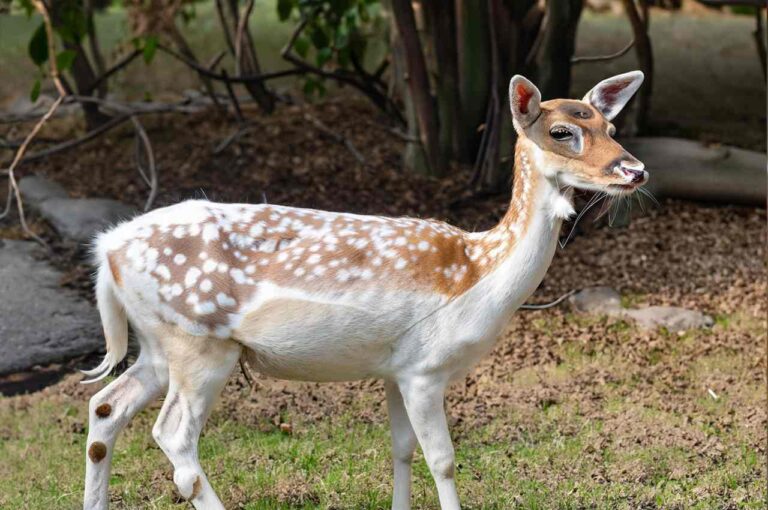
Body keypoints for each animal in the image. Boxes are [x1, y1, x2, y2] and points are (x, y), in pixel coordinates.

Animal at [82, 71, 647, 510]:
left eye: (611, 127)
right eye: (562, 131)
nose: (635, 170)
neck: (480, 273)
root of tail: (106, 250)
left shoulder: (395, 368)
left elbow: (400, 449)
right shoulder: (425, 367)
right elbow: (443, 459)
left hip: (159, 343)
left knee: (105, 408)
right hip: (198, 343)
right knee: (174, 439)